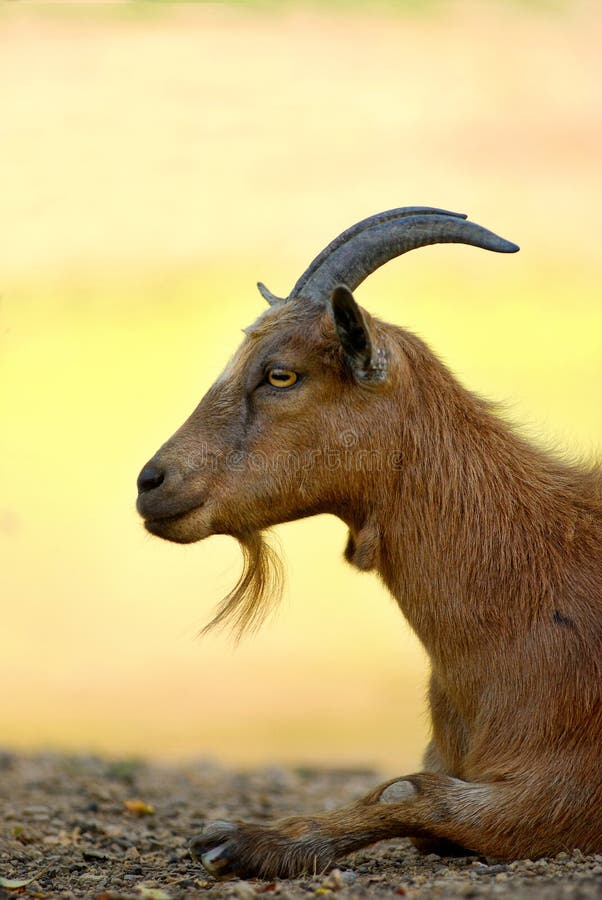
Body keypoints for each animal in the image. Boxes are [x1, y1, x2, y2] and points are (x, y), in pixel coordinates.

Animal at [136, 206, 602, 879]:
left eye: (280, 374)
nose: (151, 483)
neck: (528, 596)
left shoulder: (568, 786)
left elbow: (413, 792)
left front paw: (245, 839)